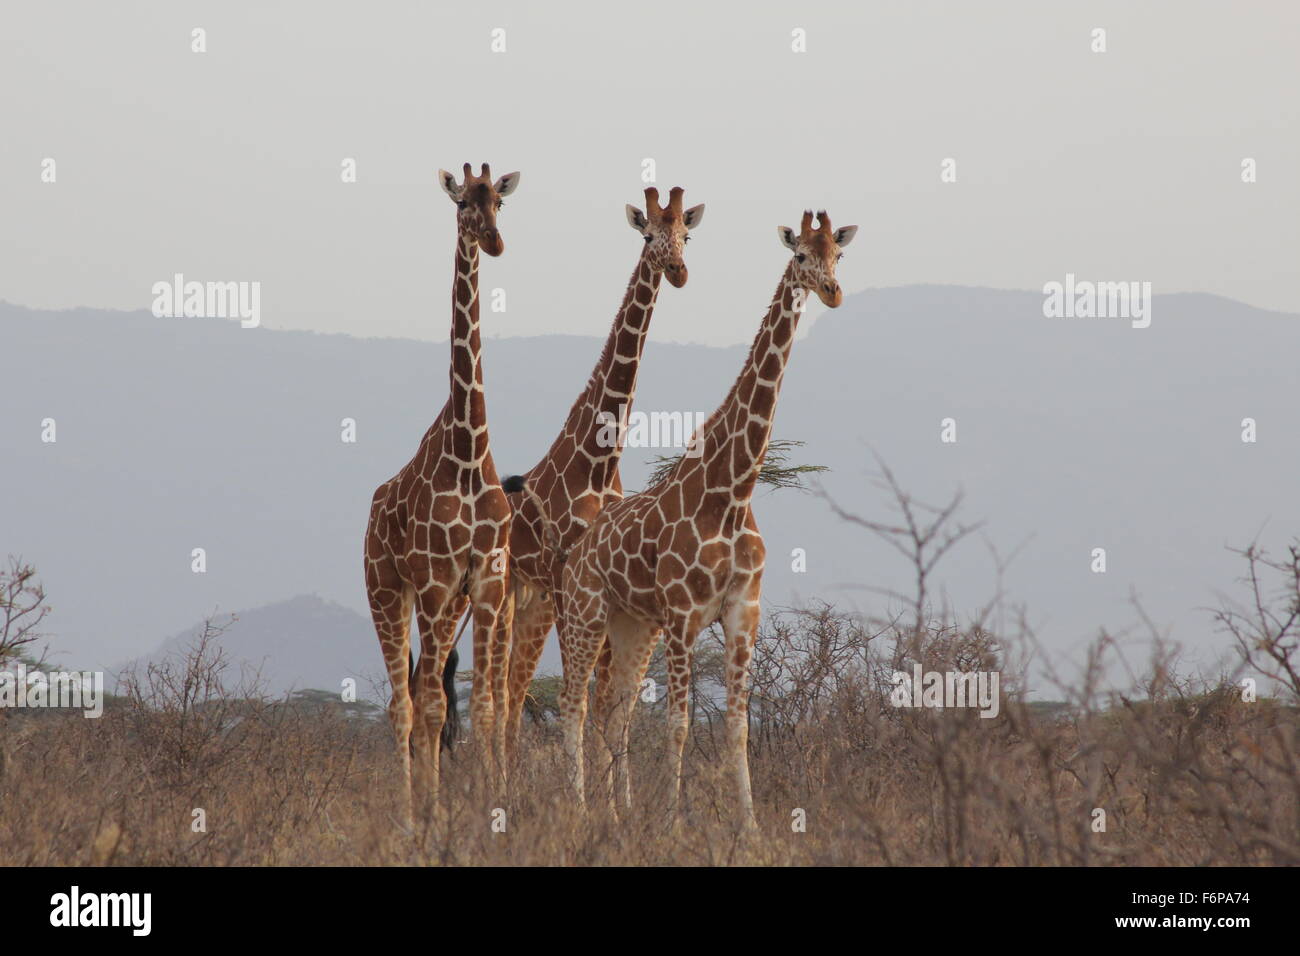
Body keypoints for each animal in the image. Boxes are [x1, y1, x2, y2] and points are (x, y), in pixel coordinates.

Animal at [484, 186, 704, 753]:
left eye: (686, 234)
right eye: (647, 235)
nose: (677, 271)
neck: (599, 461)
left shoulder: (597, 584)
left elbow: (608, 701)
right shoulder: (570, 575)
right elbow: (580, 697)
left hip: (536, 598)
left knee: (513, 691)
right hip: (509, 590)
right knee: (500, 693)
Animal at [556, 210, 857, 826]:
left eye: (838, 256)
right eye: (800, 257)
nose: (833, 292)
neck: (732, 491)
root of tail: (577, 550)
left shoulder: (743, 613)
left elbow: (738, 729)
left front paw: (750, 826)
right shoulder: (683, 616)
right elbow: (678, 724)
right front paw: (675, 823)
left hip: (631, 626)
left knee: (614, 714)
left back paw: (617, 817)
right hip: (586, 614)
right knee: (572, 706)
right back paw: (579, 812)